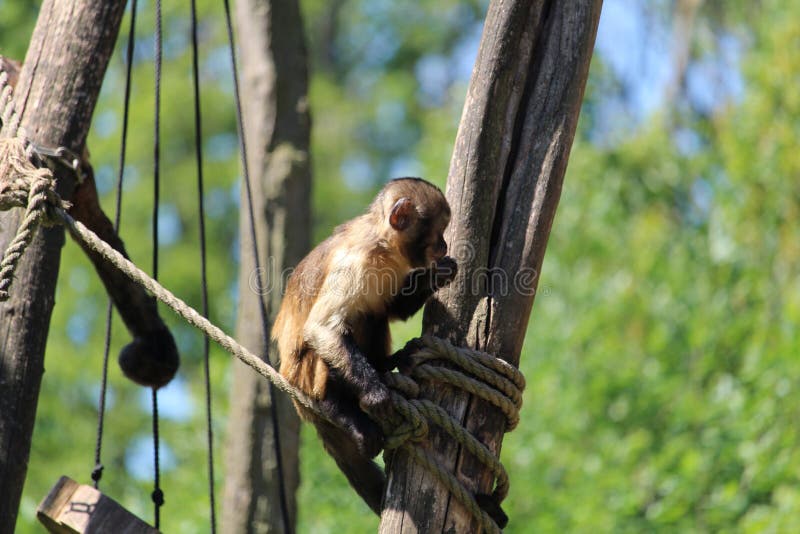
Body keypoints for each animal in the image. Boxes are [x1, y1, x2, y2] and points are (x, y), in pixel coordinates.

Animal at [271, 177, 457, 515]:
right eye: (439, 230)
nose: (444, 246)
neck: (381, 244)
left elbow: (393, 310)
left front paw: (439, 273)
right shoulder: (356, 260)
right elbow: (322, 329)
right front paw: (375, 395)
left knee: (373, 312)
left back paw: (387, 365)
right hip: (304, 378)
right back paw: (340, 408)